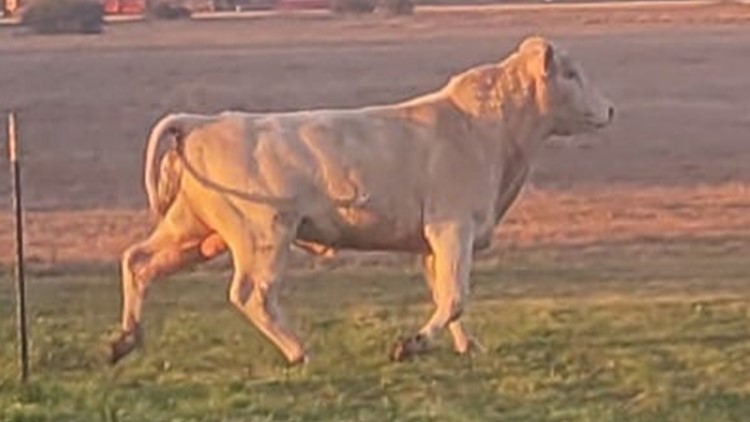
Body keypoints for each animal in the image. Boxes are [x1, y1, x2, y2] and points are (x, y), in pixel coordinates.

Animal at [110, 36, 614, 366]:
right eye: (570, 73)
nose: (609, 109)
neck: (488, 127)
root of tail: (204, 122)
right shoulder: (452, 227)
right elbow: (455, 296)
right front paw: (410, 345)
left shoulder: (433, 243)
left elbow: (444, 293)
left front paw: (465, 346)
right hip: (263, 235)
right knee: (252, 294)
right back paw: (298, 351)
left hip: (193, 230)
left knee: (139, 261)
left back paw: (125, 340)